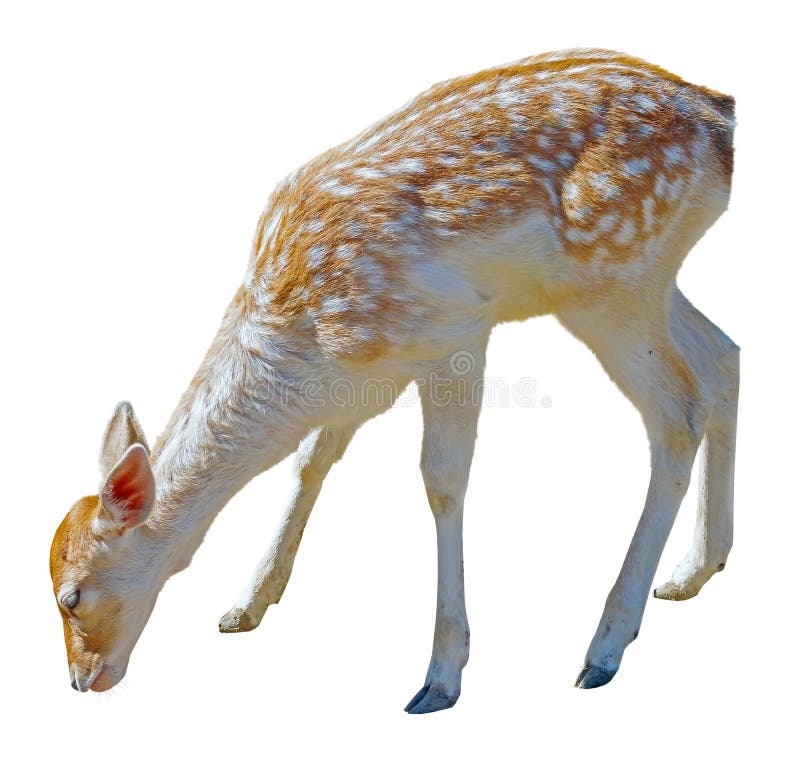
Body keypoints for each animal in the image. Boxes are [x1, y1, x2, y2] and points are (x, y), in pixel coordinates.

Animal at [49, 48, 738, 713]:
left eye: (71, 596)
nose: (82, 682)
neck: (301, 344)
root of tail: (723, 119)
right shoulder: (365, 379)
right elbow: (311, 460)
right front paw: (246, 603)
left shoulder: (453, 332)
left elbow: (443, 482)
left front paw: (441, 677)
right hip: (646, 283)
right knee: (723, 355)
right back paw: (694, 571)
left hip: (612, 281)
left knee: (679, 411)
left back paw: (603, 648)